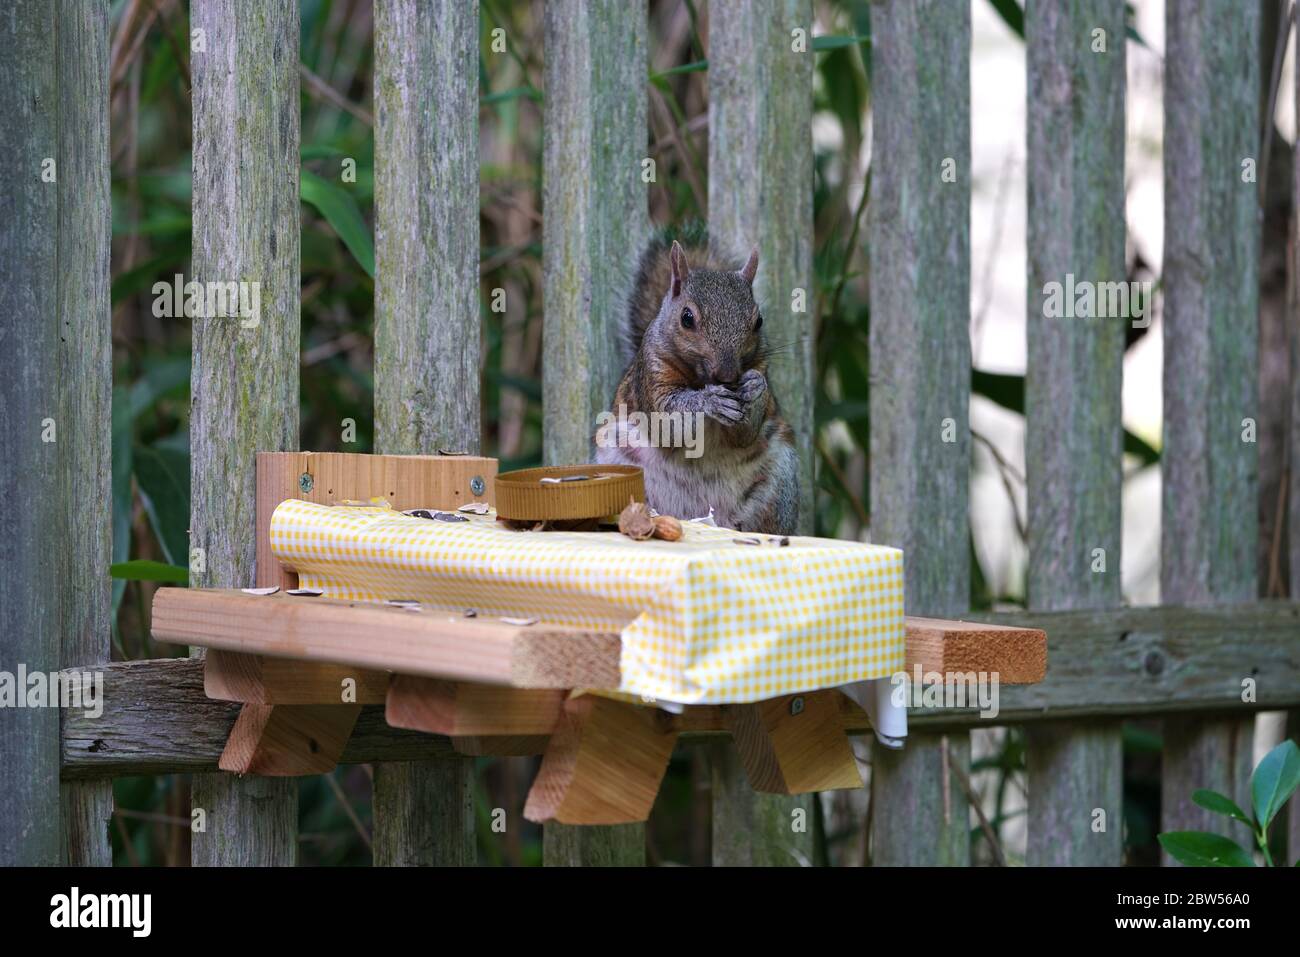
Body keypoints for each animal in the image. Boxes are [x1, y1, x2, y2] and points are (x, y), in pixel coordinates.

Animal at [594, 226, 799, 535]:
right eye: (687, 318)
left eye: (759, 321)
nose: (728, 376)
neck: (700, 378)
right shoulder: (652, 375)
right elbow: (667, 424)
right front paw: (710, 401)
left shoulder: (761, 364)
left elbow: (746, 432)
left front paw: (754, 388)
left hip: (777, 486)